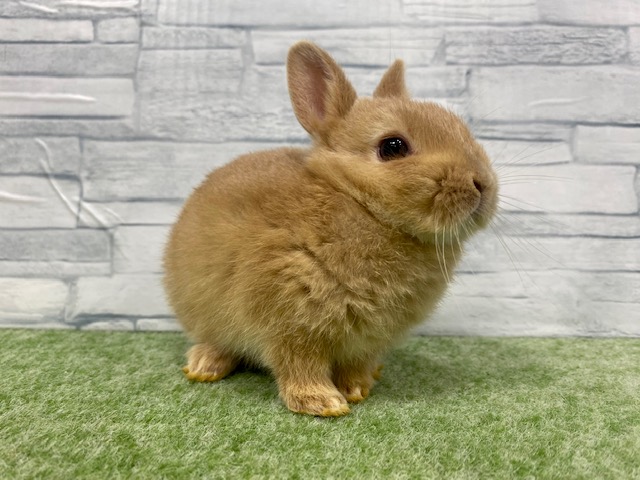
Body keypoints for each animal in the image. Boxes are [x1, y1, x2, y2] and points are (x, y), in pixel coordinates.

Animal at [163, 41, 498, 417]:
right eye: (392, 146)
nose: (482, 184)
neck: (359, 203)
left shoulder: (366, 341)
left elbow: (354, 363)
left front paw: (357, 389)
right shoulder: (290, 322)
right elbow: (299, 364)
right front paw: (323, 403)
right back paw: (204, 367)